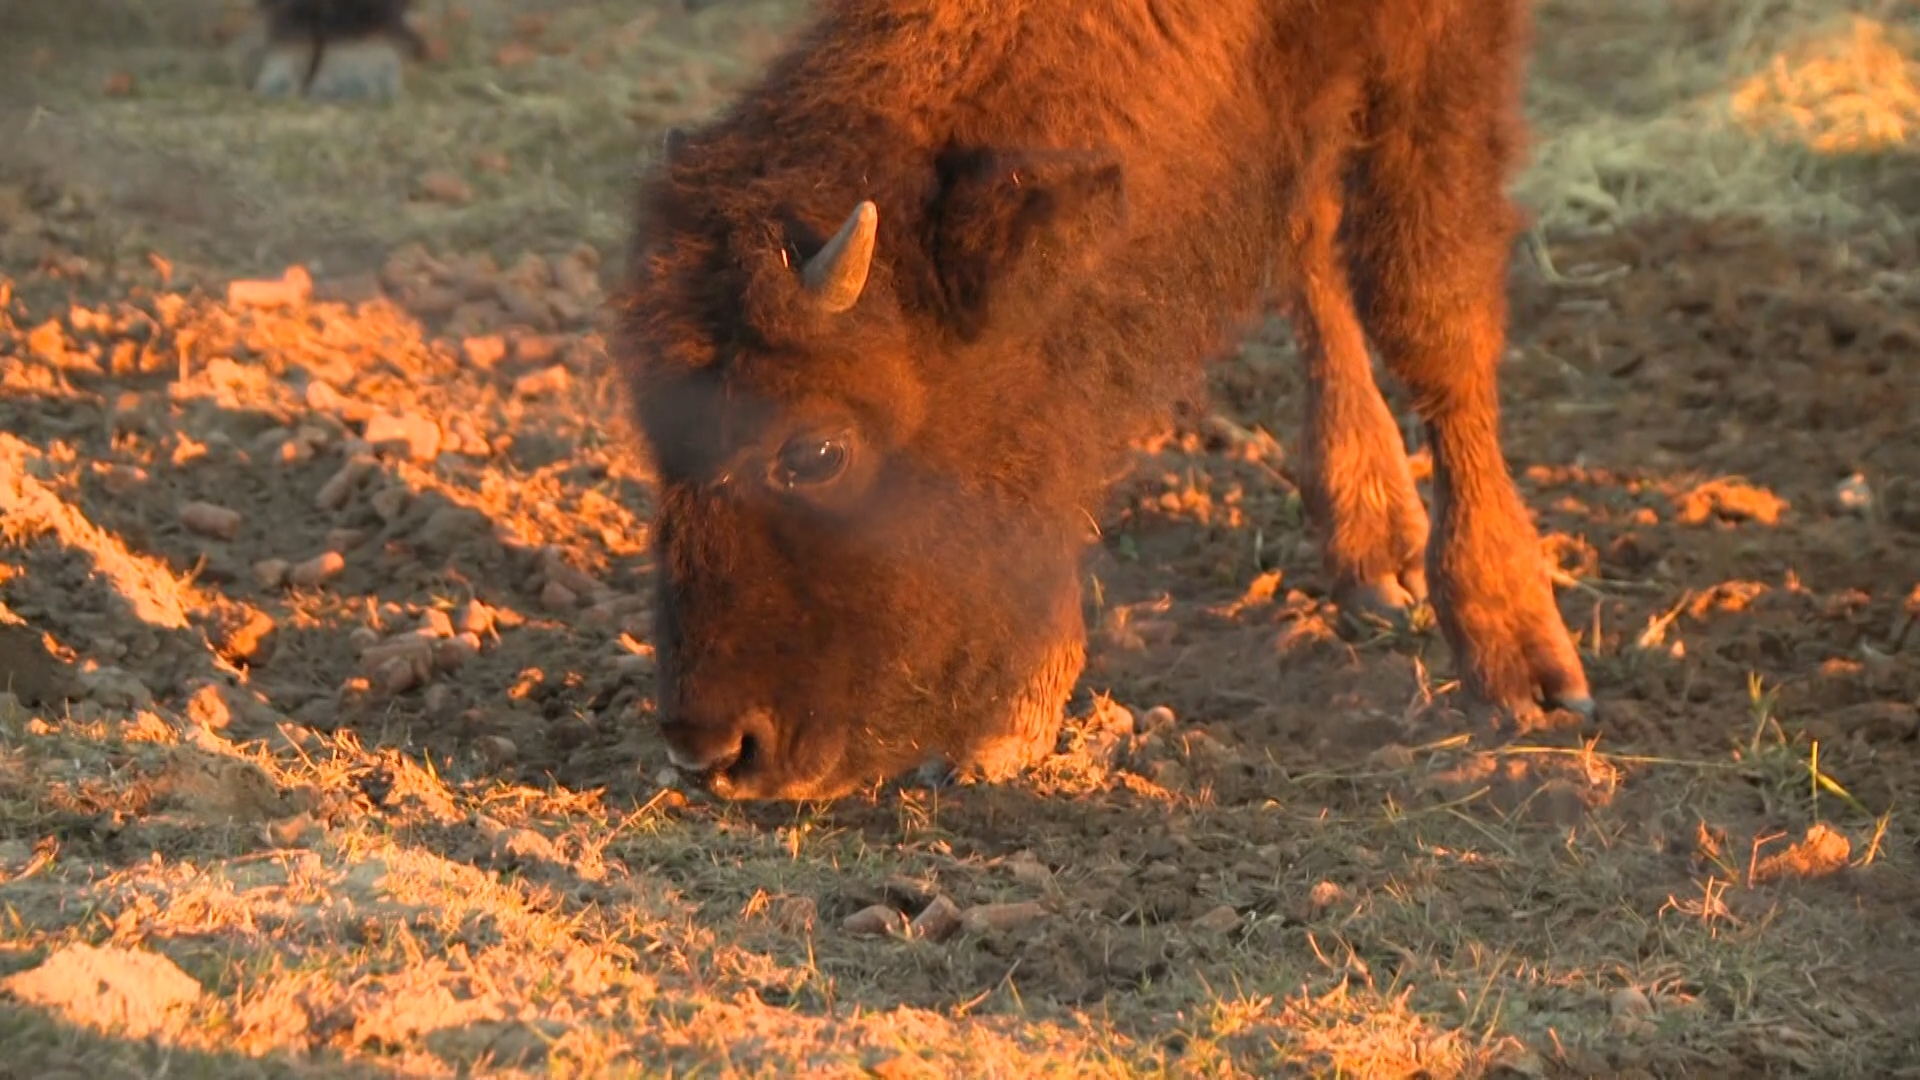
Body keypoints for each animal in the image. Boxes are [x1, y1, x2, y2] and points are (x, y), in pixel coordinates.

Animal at [616, 0, 1594, 802]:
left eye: (816, 451)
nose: (710, 750)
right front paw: (1011, 720)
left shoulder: (1438, 39)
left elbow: (1429, 300)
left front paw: (1523, 662)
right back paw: (1371, 543)